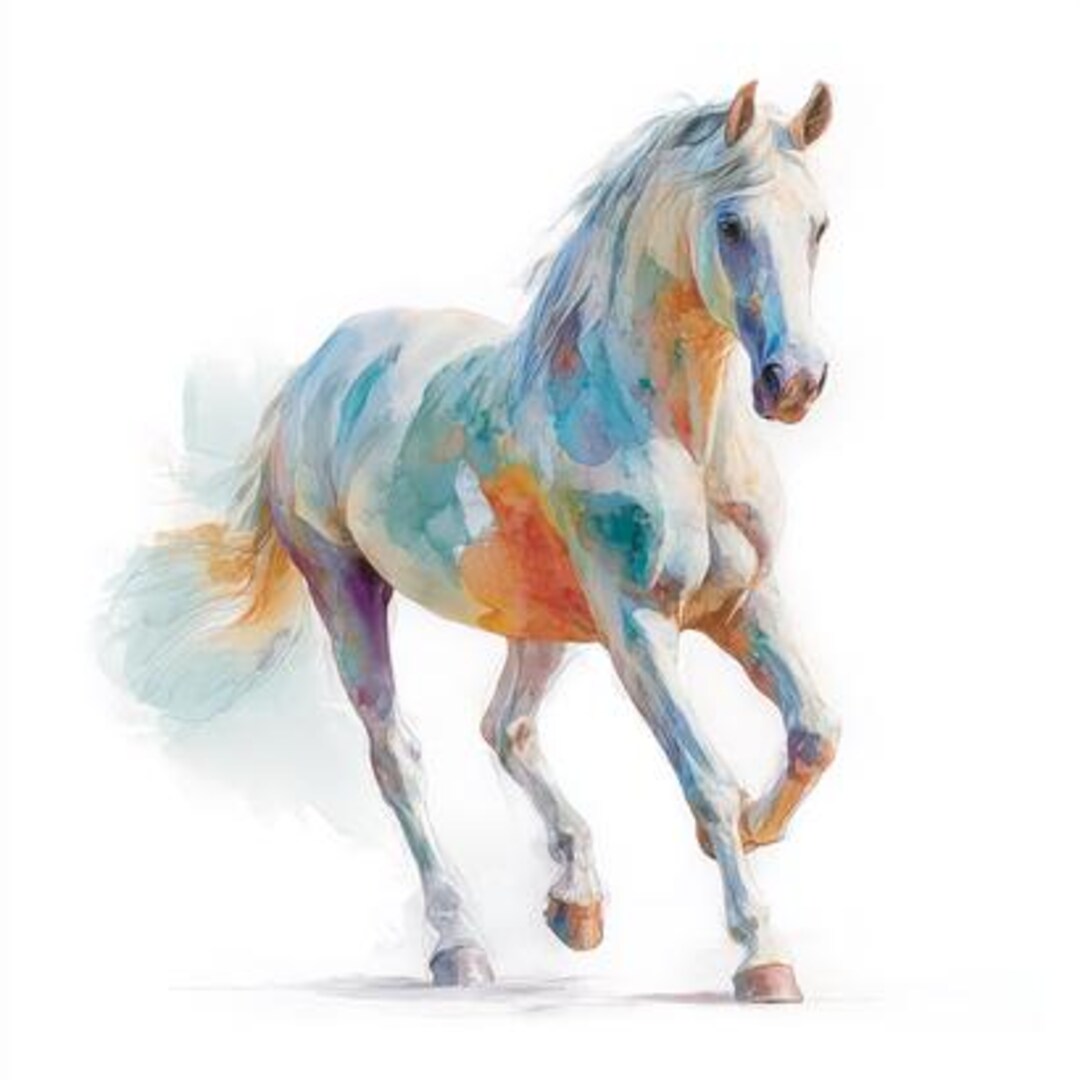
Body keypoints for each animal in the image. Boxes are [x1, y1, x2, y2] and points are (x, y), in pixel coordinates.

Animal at [107, 80, 840, 1003]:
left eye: (819, 225)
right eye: (733, 225)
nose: (795, 383)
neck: (674, 430)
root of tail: (317, 370)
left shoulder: (743, 604)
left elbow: (815, 731)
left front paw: (747, 831)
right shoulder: (639, 625)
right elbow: (706, 776)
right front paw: (762, 955)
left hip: (542, 623)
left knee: (505, 728)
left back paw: (574, 904)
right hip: (347, 589)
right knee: (399, 756)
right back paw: (459, 946)